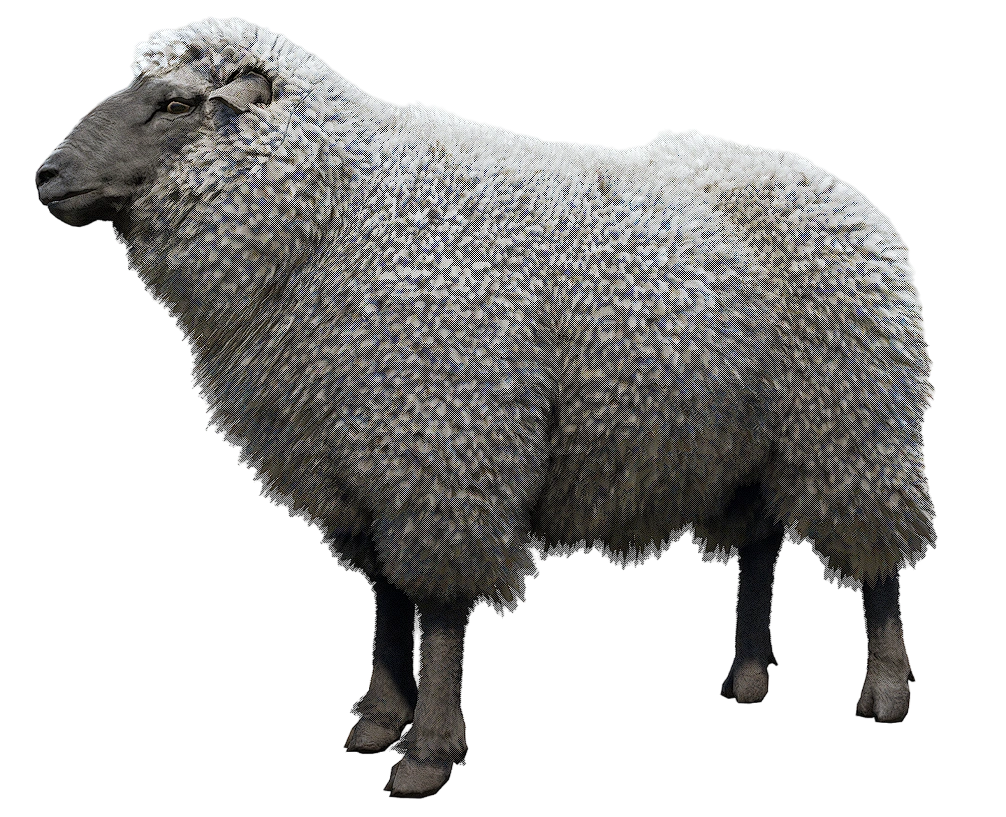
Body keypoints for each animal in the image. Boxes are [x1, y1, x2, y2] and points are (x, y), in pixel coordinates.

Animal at [35, 18, 935, 797]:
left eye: (178, 105)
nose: (46, 175)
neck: (335, 215)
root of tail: (841, 188)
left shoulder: (440, 451)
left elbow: (436, 611)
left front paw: (425, 754)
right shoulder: (358, 463)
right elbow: (385, 600)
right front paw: (375, 722)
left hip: (856, 419)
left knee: (880, 561)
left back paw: (886, 691)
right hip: (749, 439)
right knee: (758, 543)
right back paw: (747, 679)